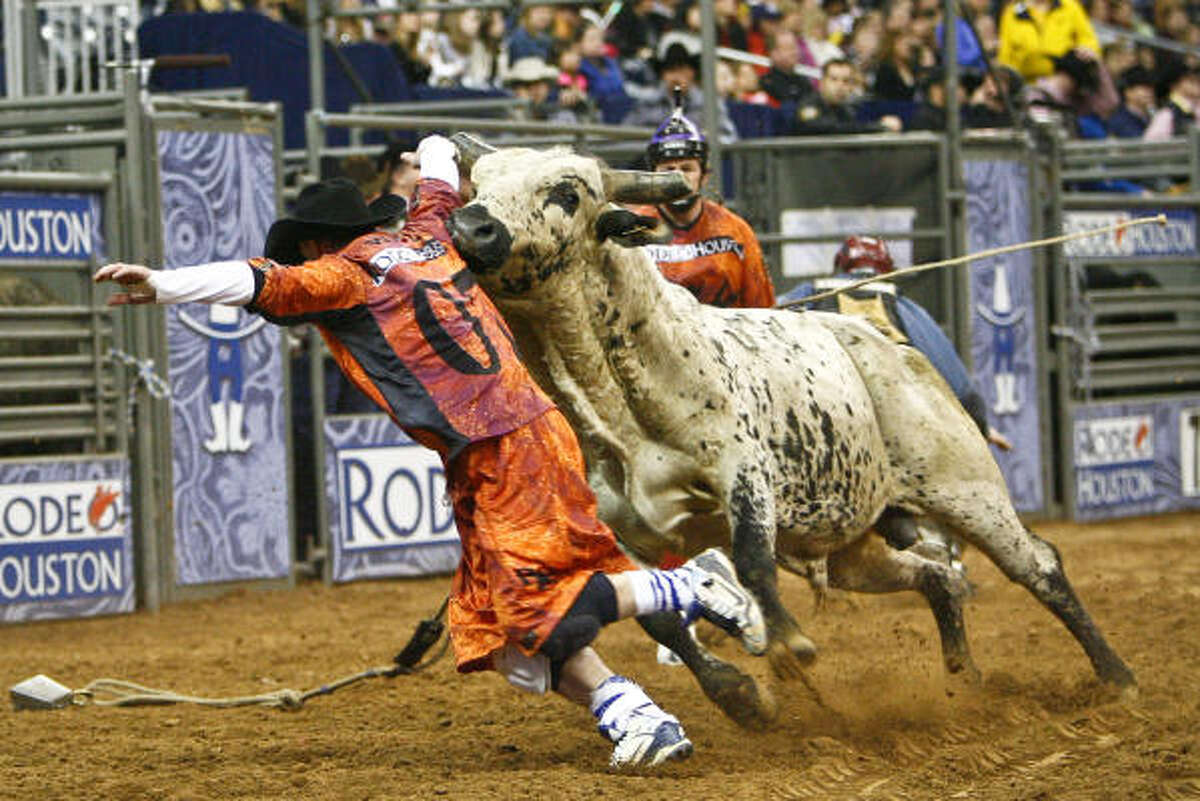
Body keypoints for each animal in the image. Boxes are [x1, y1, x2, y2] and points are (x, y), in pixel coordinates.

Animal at [444, 134, 1135, 729]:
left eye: (566, 190)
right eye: (480, 183)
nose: (470, 227)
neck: (619, 404)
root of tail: (894, 348)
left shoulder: (743, 474)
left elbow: (751, 562)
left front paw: (788, 647)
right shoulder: (623, 530)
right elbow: (661, 618)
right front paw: (739, 696)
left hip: (967, 489)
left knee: (1038, 565)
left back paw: (1117, 676)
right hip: (850, 545)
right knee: (935, 576)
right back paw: (963, 677)